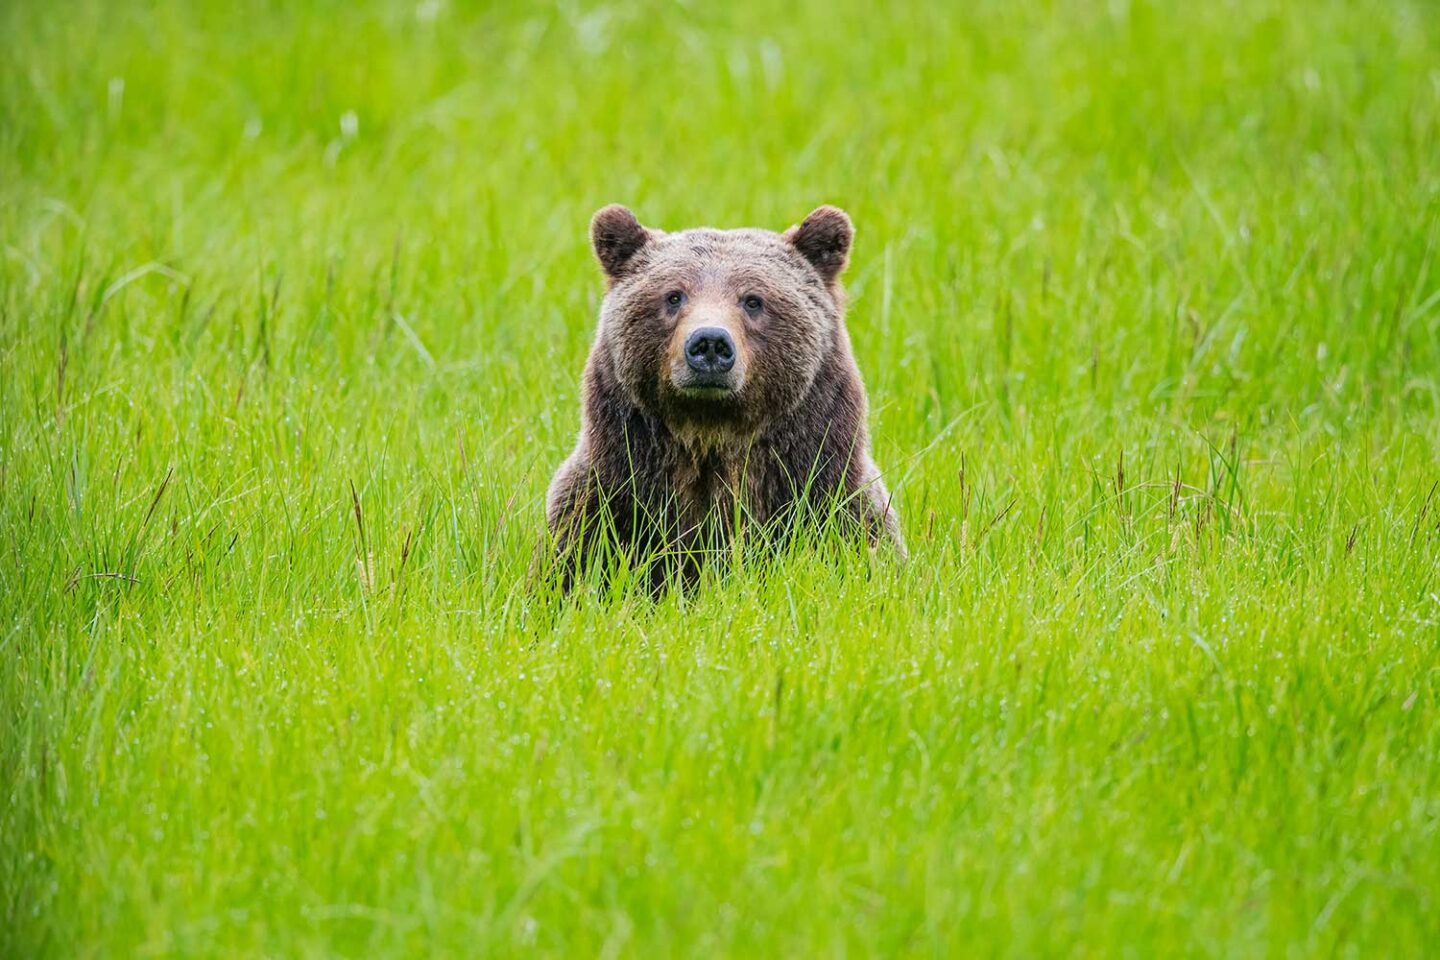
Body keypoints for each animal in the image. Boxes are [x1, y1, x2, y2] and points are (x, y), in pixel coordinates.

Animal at [545, 204, 904, 591]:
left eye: (753, 300)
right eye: (674, 295)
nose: (710, 343)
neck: (712, 435)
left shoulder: (832, 498)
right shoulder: (608, 502)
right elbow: (569, 568)